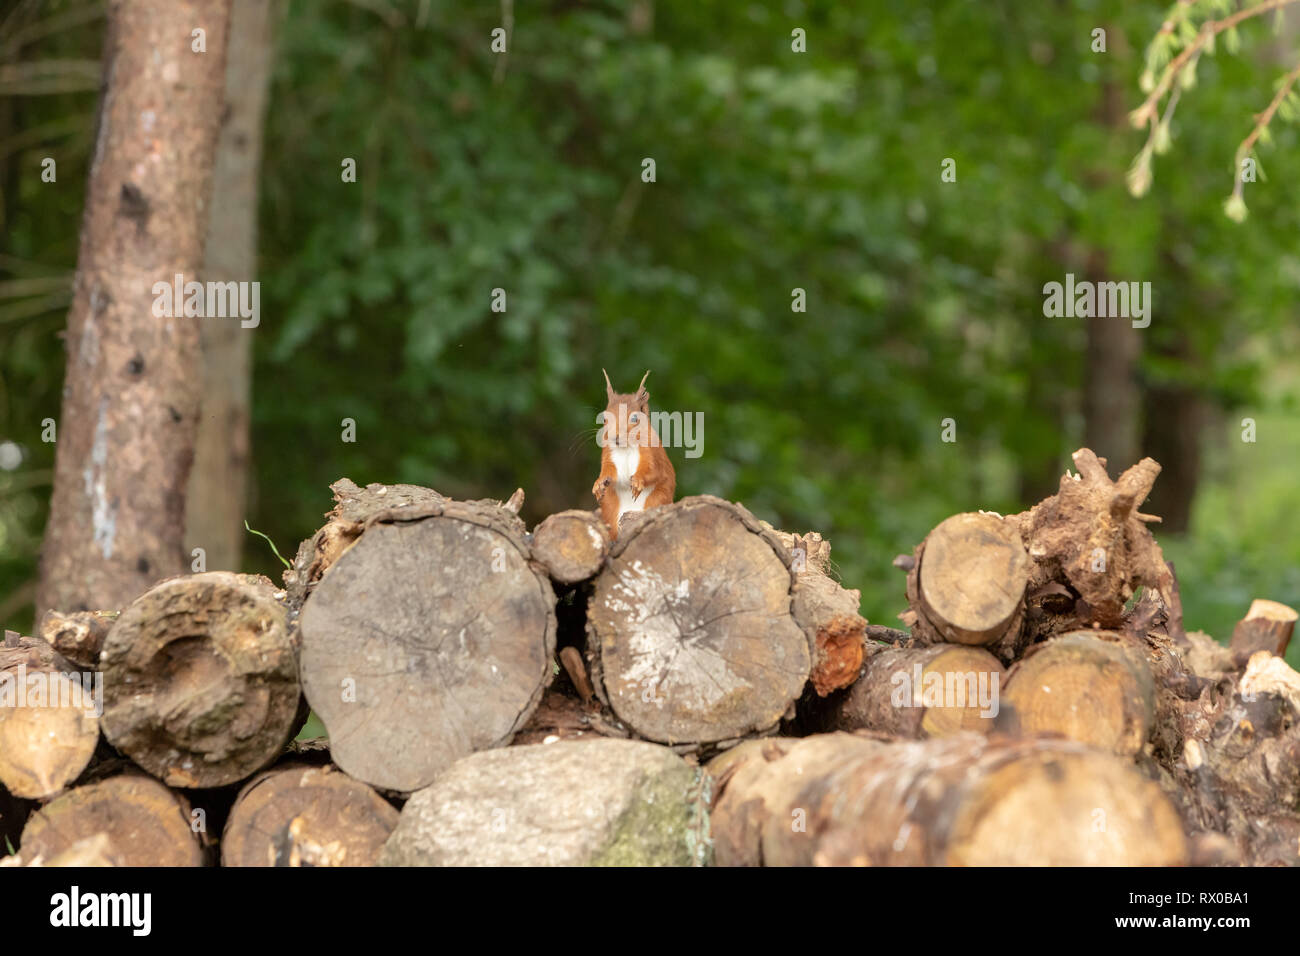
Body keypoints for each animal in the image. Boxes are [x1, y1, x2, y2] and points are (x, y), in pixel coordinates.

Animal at [592, 369, 676, 538]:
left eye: (635, 418)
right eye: (604, 418)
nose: (615, 437)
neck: (626, 447)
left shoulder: (652, 452)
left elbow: (652, 470)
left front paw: (637, 481)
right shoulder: (609, 455)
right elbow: (609, 472)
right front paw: (599, 482)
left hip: (658, 498)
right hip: (610, 506)